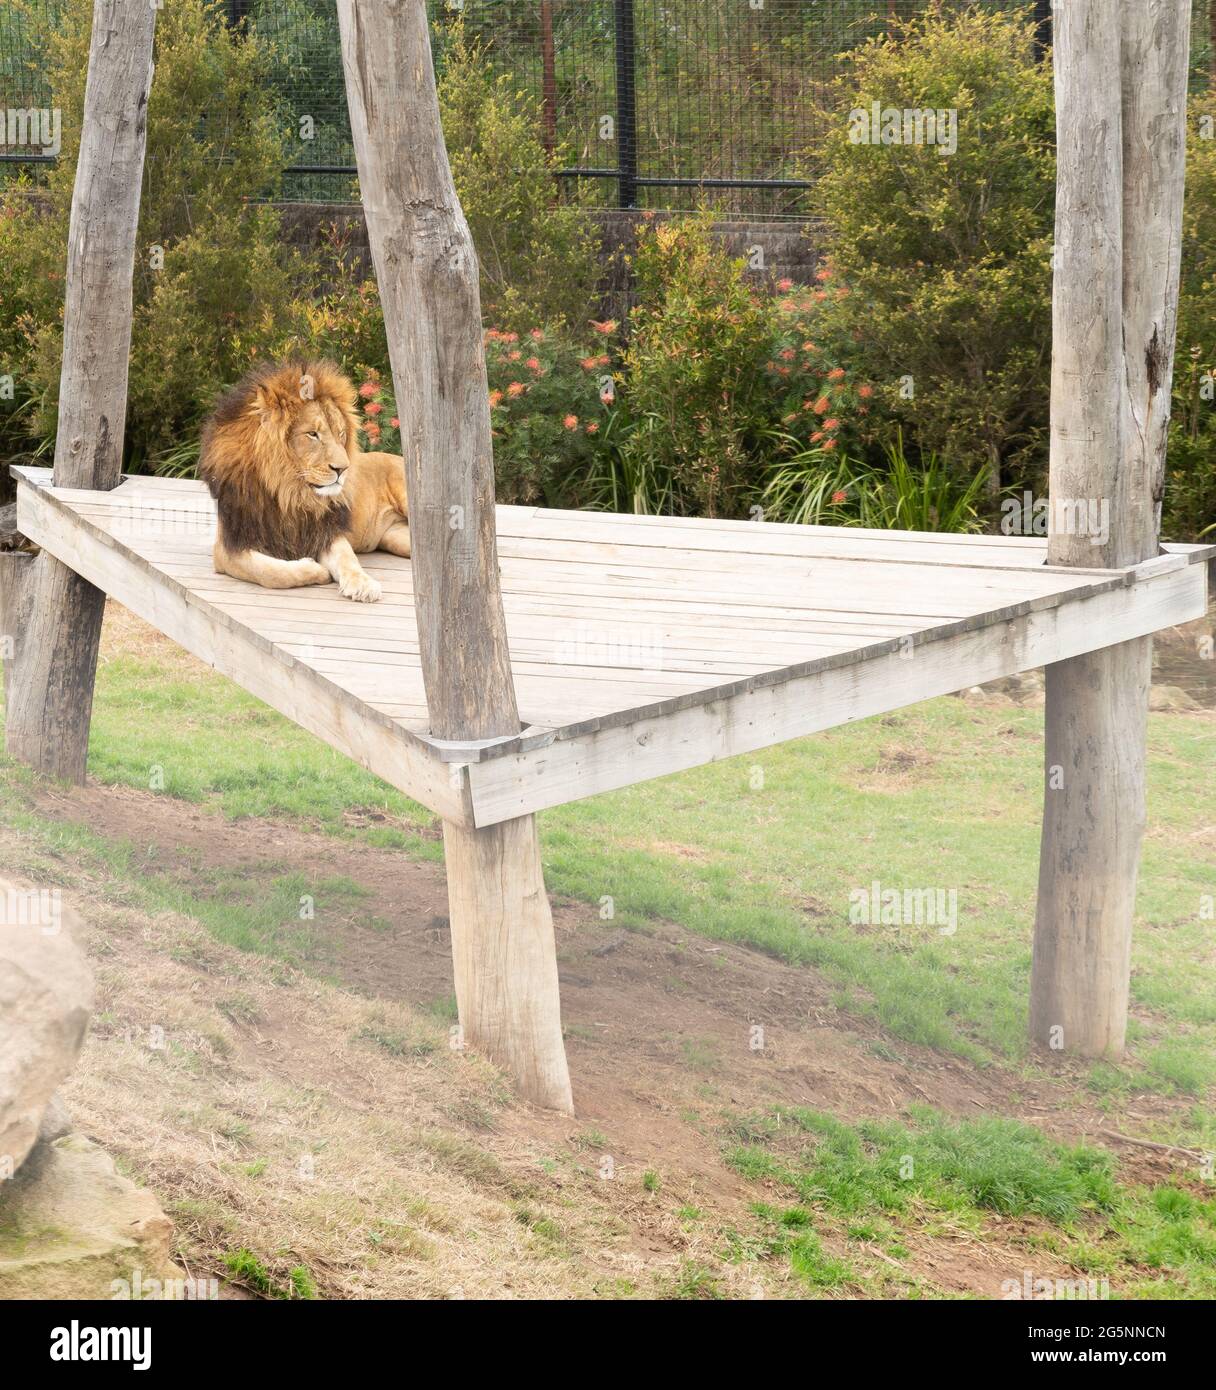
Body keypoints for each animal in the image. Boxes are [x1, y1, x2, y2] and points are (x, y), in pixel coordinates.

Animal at [198, 360, 410, 603]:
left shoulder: (324, 530)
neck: (287, 493)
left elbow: (347, 558)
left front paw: (362, 583)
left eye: (341, 434)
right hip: (398, 538)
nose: (343, 469)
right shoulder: (229, 546)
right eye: (312, 434)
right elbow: (269, 572)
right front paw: (315, 568)